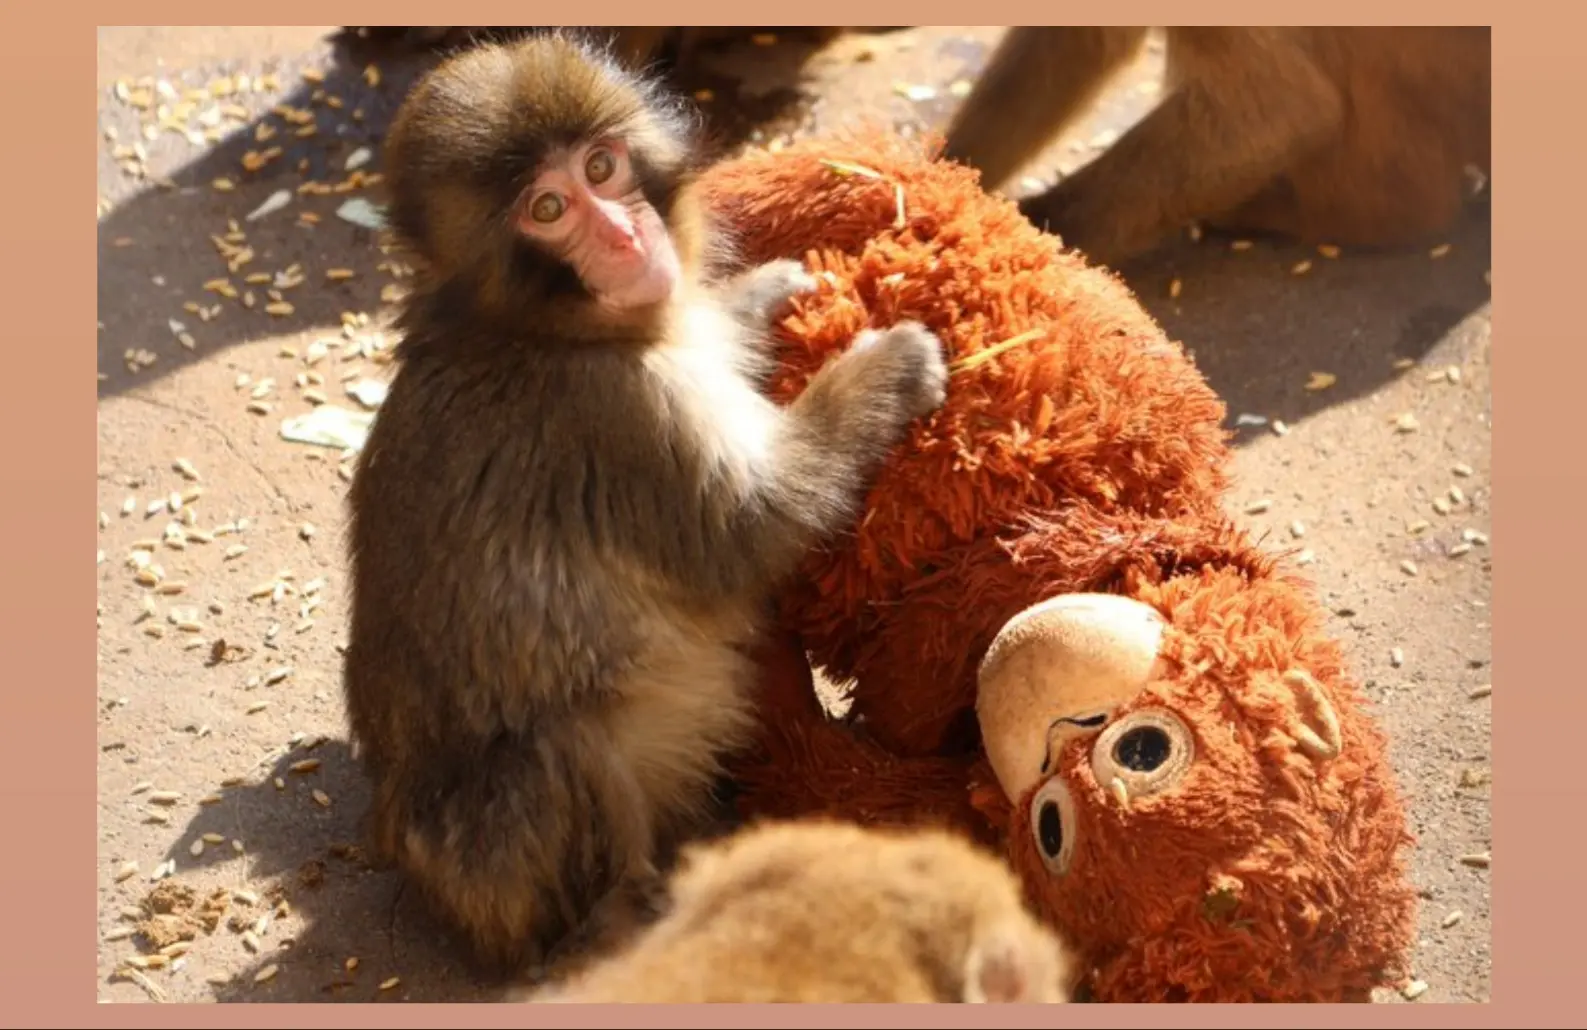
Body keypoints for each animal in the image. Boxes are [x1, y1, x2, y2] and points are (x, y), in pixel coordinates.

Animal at [341, 30, 950, 981]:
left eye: (602, 166)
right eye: (548, 208)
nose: (626, 236)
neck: (540, 329)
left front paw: (759, 294)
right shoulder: (618, 414)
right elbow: (752, 529)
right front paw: (883, 370)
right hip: (497, 866)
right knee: (553, 753)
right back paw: (624, 915)